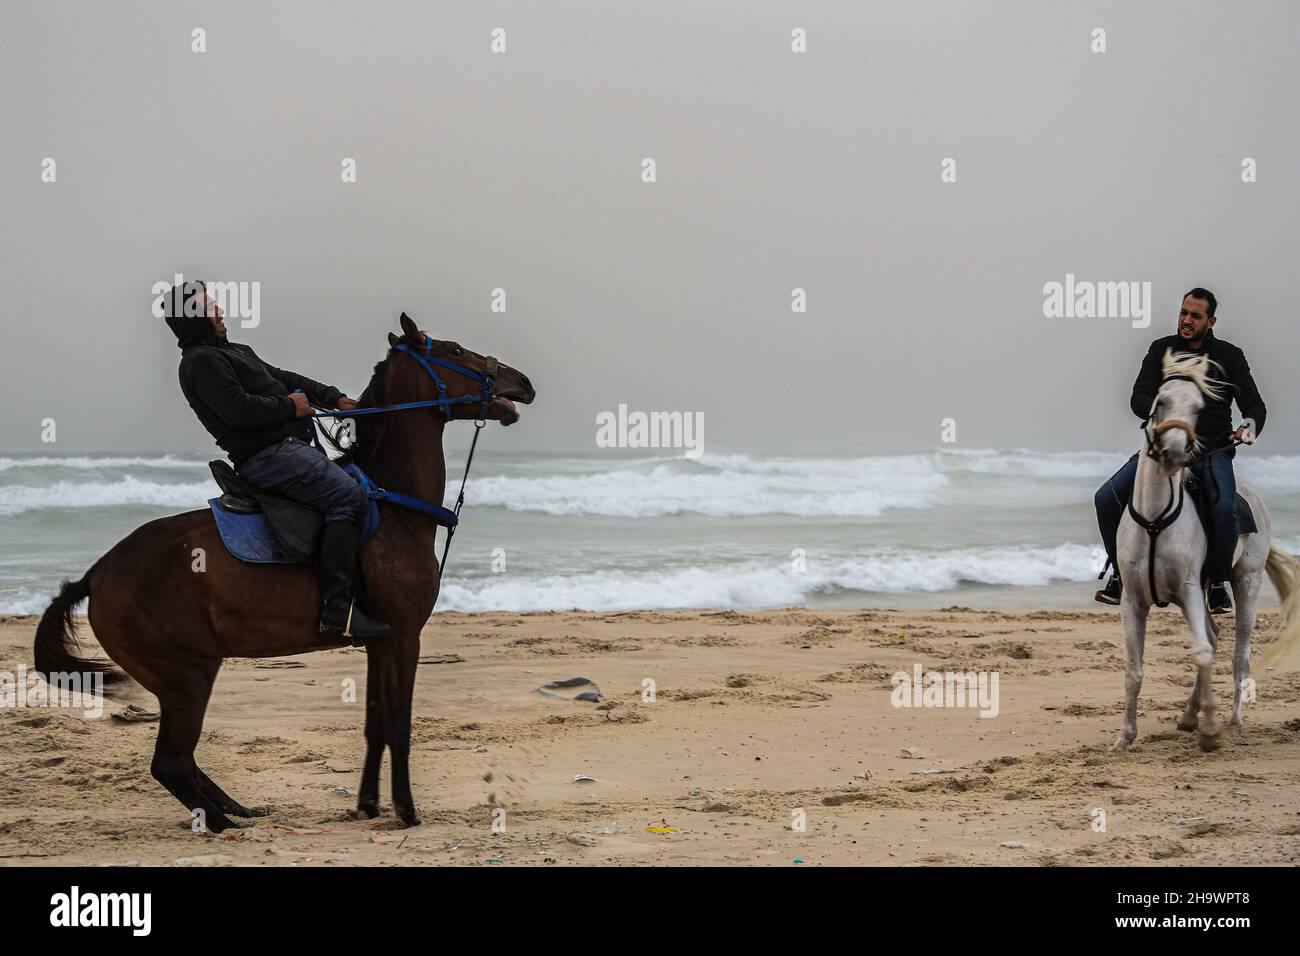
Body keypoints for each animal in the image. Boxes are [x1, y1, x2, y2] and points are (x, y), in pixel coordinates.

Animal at [31, 312, 535, 831]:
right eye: (454, 351)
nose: (522, 383)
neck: (395, 507)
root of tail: (97, 574)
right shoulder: (403, 637)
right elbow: (398, 726)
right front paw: (406, 812)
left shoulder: (380, 641)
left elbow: (375, 726)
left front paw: (367, 805)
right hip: (188, 677)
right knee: (171, 762)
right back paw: (223, 823)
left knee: (182, 762)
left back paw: (235, 809)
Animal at [1114, 349, 1300, 753]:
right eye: (1160, 402)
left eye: (1198, 407)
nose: (1173, 452)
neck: (1156, 518)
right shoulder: (1132, 600)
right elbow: (1134, 670)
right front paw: (1124, 737)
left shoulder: (1186, 590)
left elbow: (1201, 652)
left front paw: (1211, 731)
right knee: (1215, 640)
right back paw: (1188, 716)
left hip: (1246, 581)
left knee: (1237, 654)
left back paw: (1232, 721)